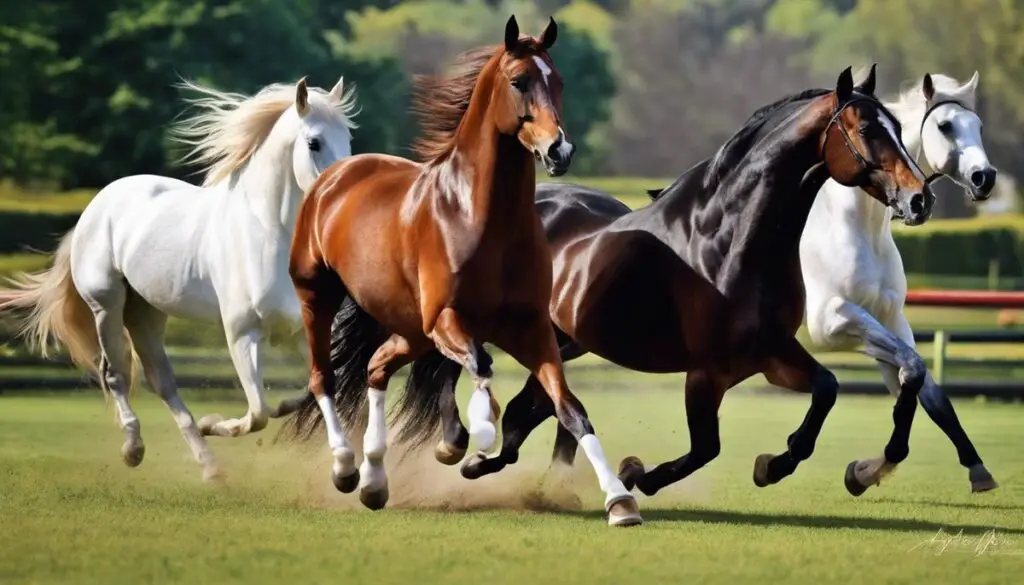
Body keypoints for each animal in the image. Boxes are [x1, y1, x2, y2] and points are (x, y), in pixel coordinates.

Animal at [0, 76, 358, 481]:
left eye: (348, 139)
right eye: (314, 142)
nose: (342, 193)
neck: (268, 233)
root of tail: (97, 206)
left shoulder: (298, 329)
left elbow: (310, 388)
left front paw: (344, 466)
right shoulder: (242, 333)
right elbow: (258, 413)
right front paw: (216, 423)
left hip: (146, 312)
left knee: (163, 381)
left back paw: (209, 465)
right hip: (107, 306)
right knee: (116, 374)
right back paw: (134, 449)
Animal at [276, 15, 643, 527]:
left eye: (559, 81)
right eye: (518, 81)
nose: (559, 151)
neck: (477, 216)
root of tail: (335, 176)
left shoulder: (531, 329)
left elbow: (570, 408)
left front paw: (619, 500)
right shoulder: (450, 320)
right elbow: (481, 367)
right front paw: (473, 439)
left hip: (410, 329)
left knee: (376, 367)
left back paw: (374, 480)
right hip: (320, 296)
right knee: (323, 378)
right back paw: (347, 469)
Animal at [382, 65, 939, 499]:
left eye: (896, 126)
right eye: (867, 129)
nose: (920, 199)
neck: (727, 242)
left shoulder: (768, 355)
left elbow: (825, 390)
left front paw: (776, 464)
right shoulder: (707, 372)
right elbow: (705, 447)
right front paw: (638, 476)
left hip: (563, 340)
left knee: (525, 409)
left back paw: (487, 461)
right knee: (452, 366)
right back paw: (454, 443)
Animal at [799, 72, 998, 494]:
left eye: (978, 126)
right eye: (945, 126)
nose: (985, 178)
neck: (854, 226)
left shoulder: (889, 320)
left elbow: (926, 389)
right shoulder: (831, 324)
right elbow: (913, 375)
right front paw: (869, 469)